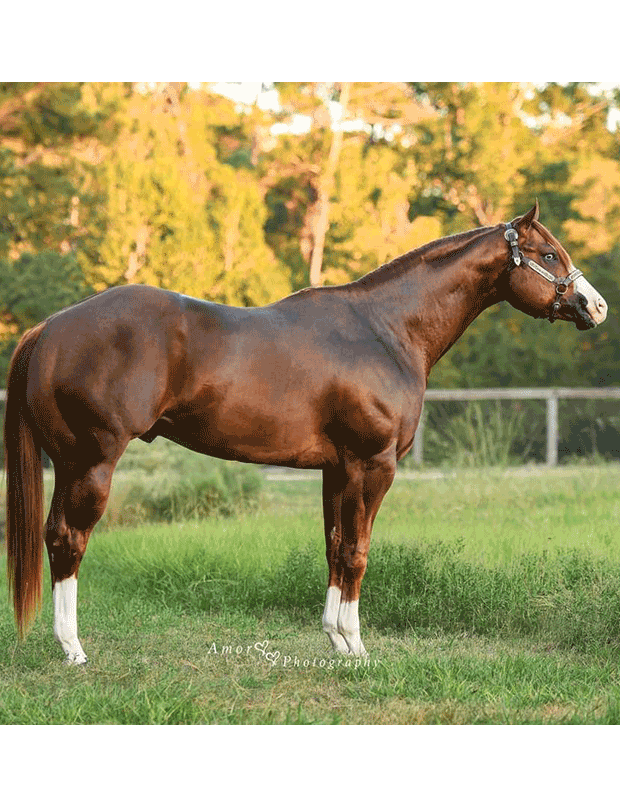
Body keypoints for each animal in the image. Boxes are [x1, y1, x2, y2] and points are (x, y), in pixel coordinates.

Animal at [4, 201, 608, 664]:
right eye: (549, 255)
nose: (596, 305)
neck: (386, 330)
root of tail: (50, 328)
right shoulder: (373, 464)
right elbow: (359, 550)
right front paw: (358, 646)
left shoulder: (337, 469)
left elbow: (336, 547)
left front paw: (336, 639)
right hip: (92, 463)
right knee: (69, 539)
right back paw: (73, 649)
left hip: (69, 463)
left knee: (54, 535)